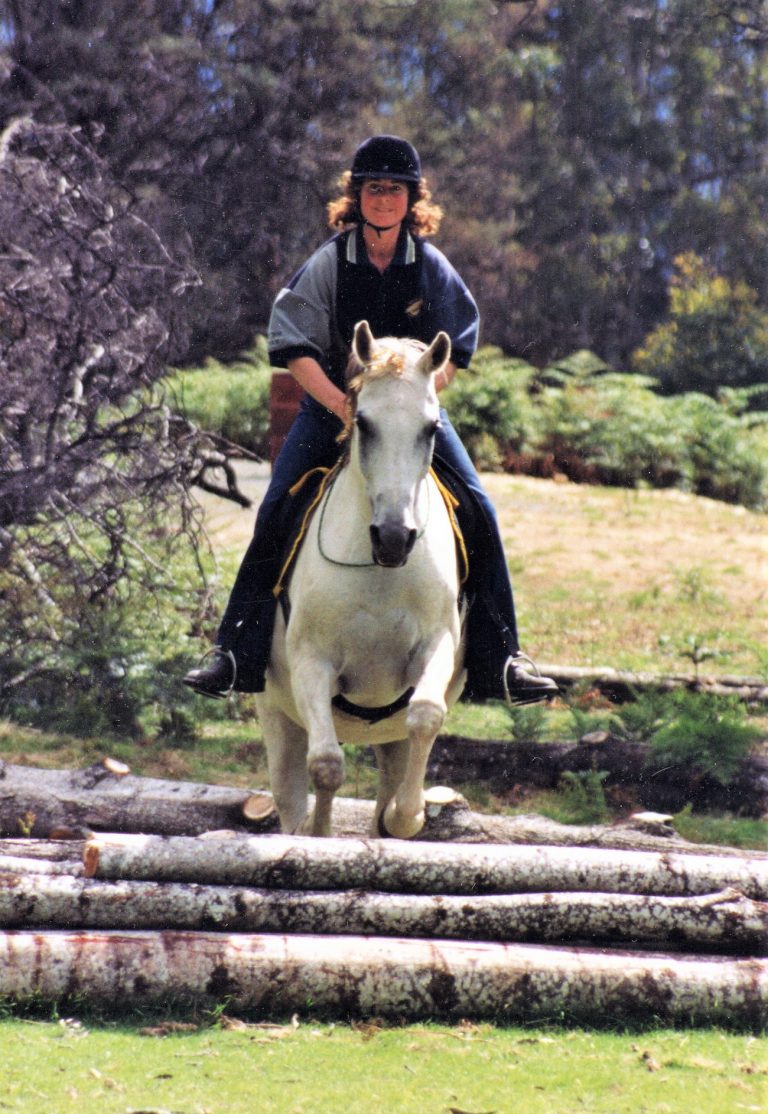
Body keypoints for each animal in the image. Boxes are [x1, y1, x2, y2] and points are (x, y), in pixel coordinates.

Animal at [255, 320, 466, 839]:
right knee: (290, 792)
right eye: (365, 423)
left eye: (431, 427)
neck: (379, 570)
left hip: (387, 735)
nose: (394, 538)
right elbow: (327, 766)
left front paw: (406, 817)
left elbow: (426, 716)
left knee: (395, 761)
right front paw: (318, 836)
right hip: (277, 719)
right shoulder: (312, 662)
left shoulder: (436, 645)